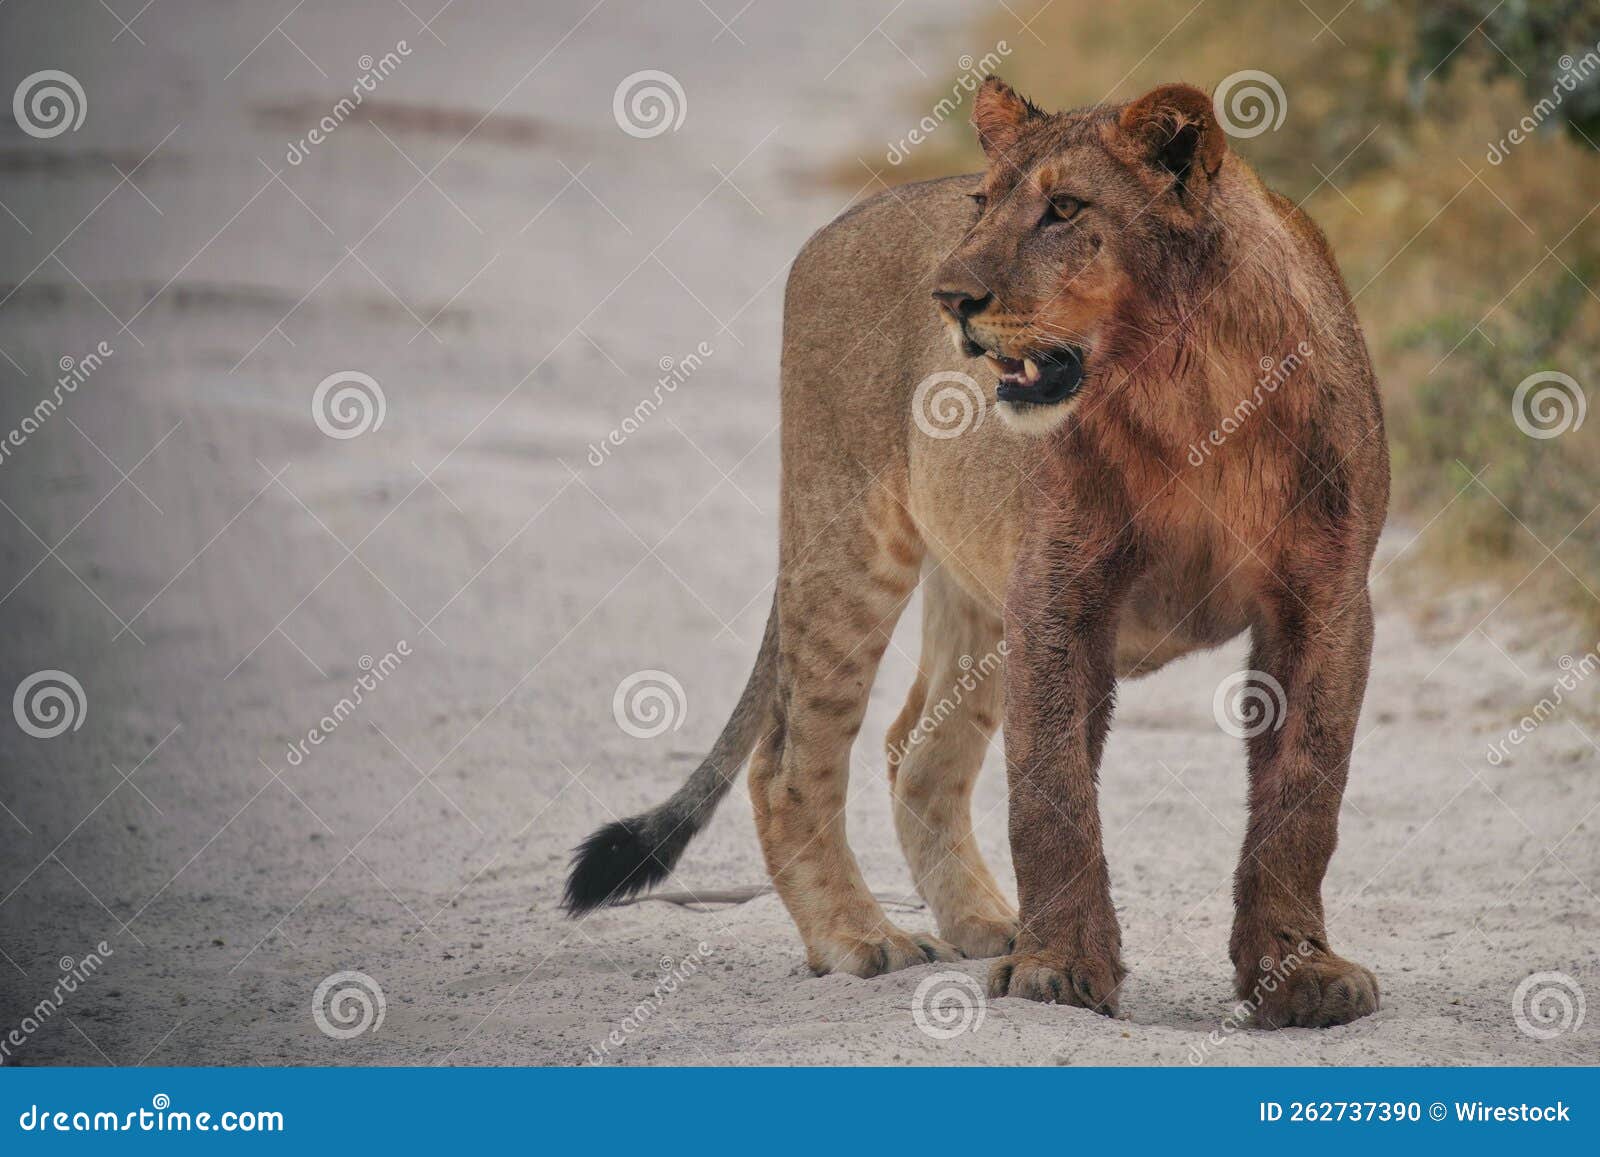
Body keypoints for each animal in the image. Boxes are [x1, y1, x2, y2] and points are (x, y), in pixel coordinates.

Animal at [567, 78, 1388, 1028]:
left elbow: (1305, 795)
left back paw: (986, 922)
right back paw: (862, 937)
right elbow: (1050, 791)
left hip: (977, 593)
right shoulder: (1059, 589)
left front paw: (1298, 974)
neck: (1188, 388)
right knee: (787, 763)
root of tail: (835, 226)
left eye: (1065, 209)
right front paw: (1059, 967)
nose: (950, 296)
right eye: (983, 202)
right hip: (850, 539)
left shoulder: (1326, 597)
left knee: (915, 751)